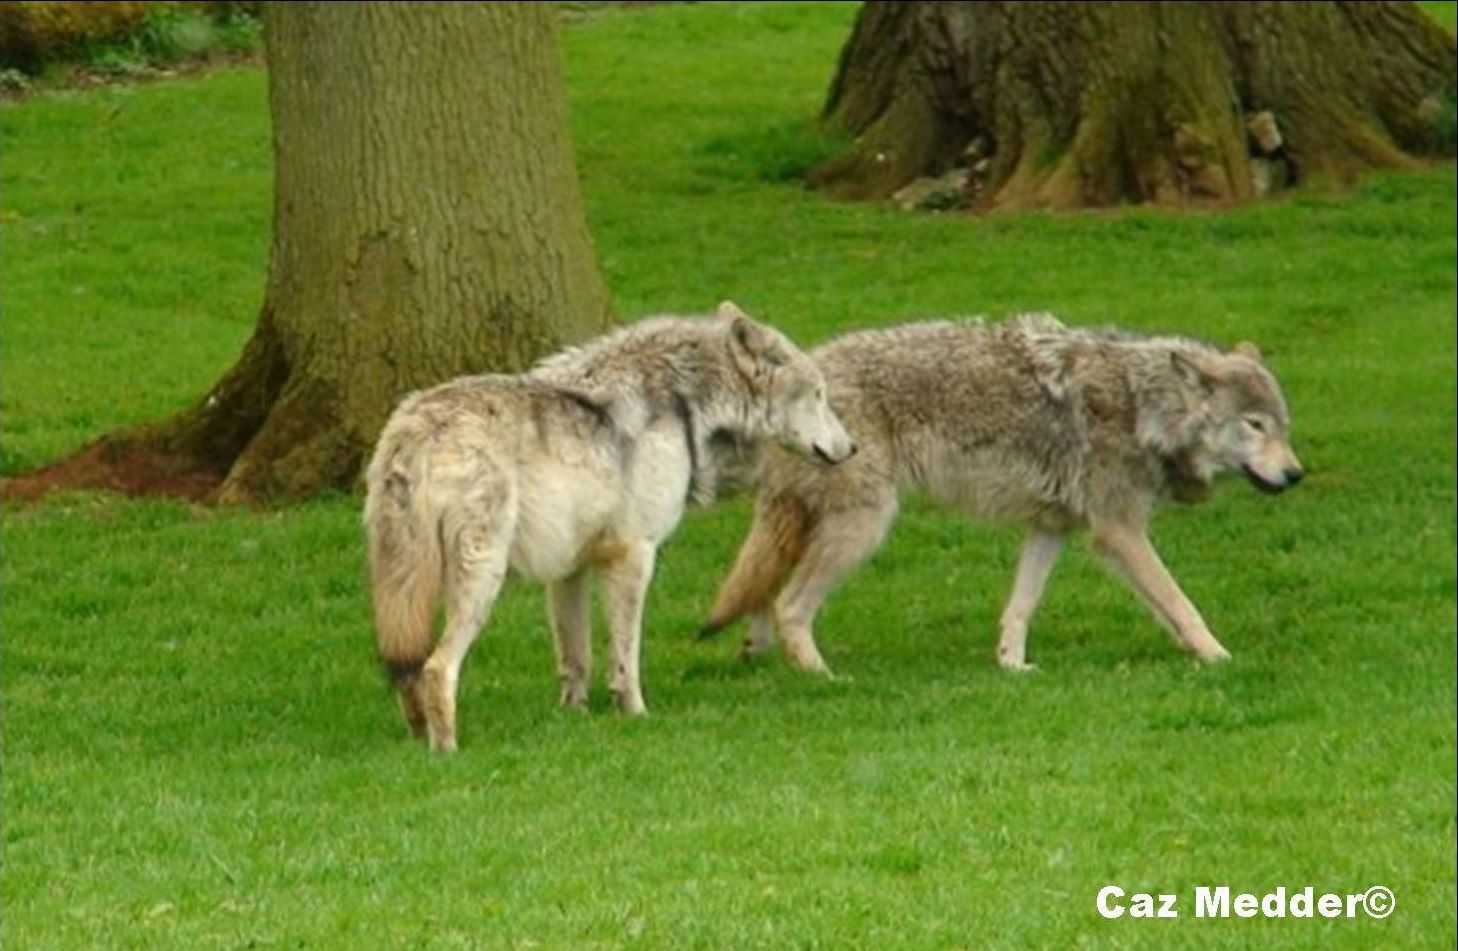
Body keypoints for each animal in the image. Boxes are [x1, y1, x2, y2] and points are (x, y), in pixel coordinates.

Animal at [365, 302, 856, 751]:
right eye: (818, 394)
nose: (851, 447)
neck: (682, 405)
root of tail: (415, 429)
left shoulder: (569, 570)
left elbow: (576, 658)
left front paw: (574, 717)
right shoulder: (636, 554)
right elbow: (626, 657)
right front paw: (635, 714)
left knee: (409, 671)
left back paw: (419, 738)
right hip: (483, 580)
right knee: (437, 668)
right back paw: (446, 751)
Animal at [700, 314, 1304, 675]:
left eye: (1283, 427)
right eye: (1254, 425)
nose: (1296, 474)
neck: (1144, 408)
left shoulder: (1052, 527)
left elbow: (1020, 606)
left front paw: (1012, 665)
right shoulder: (1118, 531)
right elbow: (1181, 604)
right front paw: (1218, 655)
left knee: (759, 591)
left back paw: (756, 651)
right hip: (865, 527)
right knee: (790, 604)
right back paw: (821, 676)